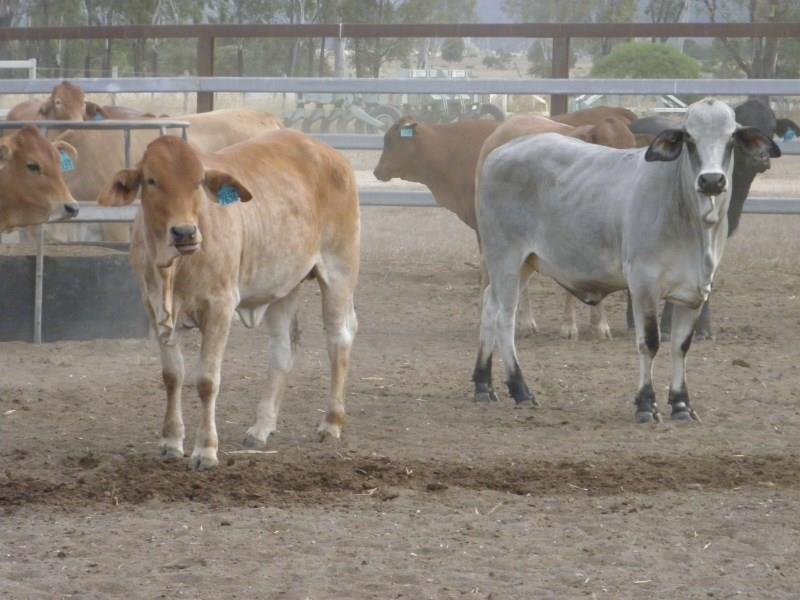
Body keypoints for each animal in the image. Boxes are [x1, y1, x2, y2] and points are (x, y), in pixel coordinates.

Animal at [96, 130, 360, 470]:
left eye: (198, 181)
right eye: (152, 180)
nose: (184, 232)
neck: (173, 269)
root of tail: (329, 153)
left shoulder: (219, 307)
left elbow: (207, 380)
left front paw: (205, 450)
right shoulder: (153, 309)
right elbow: (172, 376)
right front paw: (171, 441)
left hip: (340, 269)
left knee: (339, 339)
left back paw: (331, 422)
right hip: (283, 286)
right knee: (282, 349)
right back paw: (261, 428)